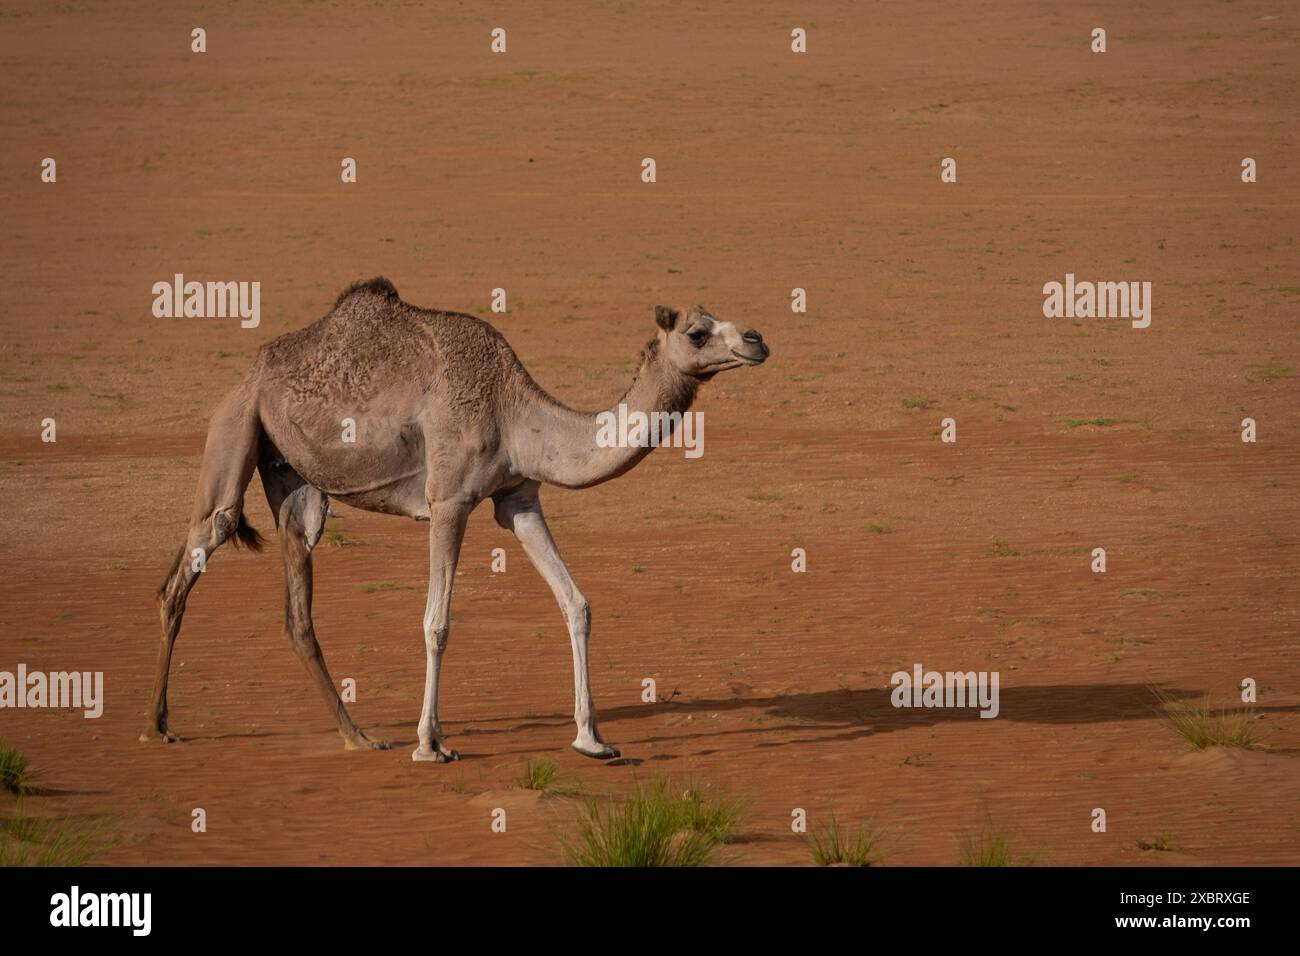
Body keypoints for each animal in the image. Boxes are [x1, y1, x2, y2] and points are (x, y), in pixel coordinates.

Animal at [142, 278, 770, 761]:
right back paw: (157, 726)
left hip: (294, 479)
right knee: (203, 542)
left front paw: (593, 740)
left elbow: (576, 603)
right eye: (697, 332)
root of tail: (252, 370)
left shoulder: (518, 499)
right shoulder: (448, 499)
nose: (758, 339)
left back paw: (359, 736)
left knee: (298, 596)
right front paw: (431, 744)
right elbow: (437, 623)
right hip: (237, 424)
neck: (515, 413)